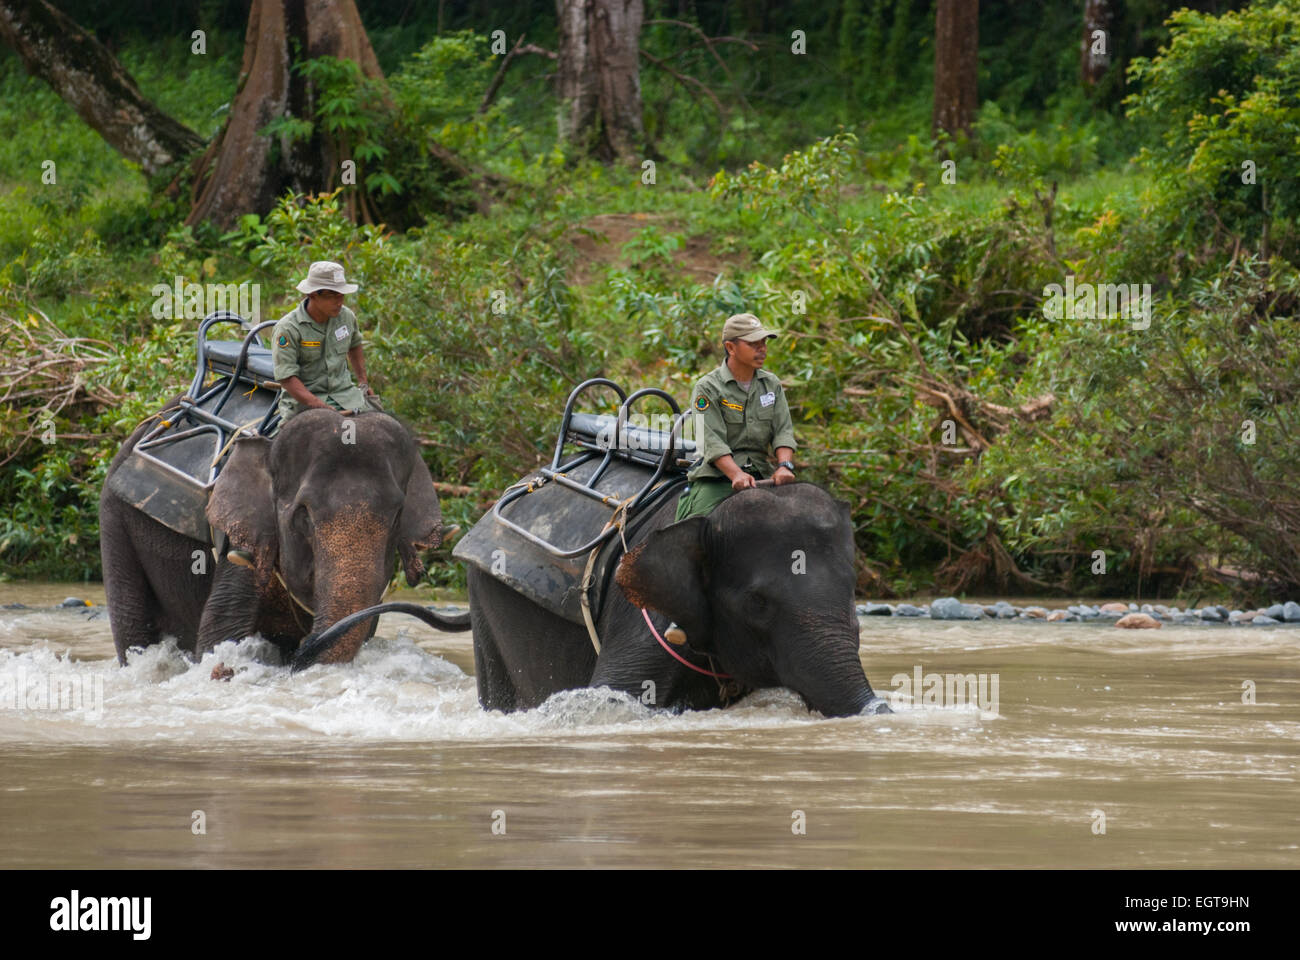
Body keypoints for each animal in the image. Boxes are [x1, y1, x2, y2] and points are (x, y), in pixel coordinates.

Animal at [99, 405, 469, 667]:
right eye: (303, 515)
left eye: (396, 516)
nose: (305, 646)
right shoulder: (242, 538)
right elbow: (220, 634)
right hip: (114, 516)